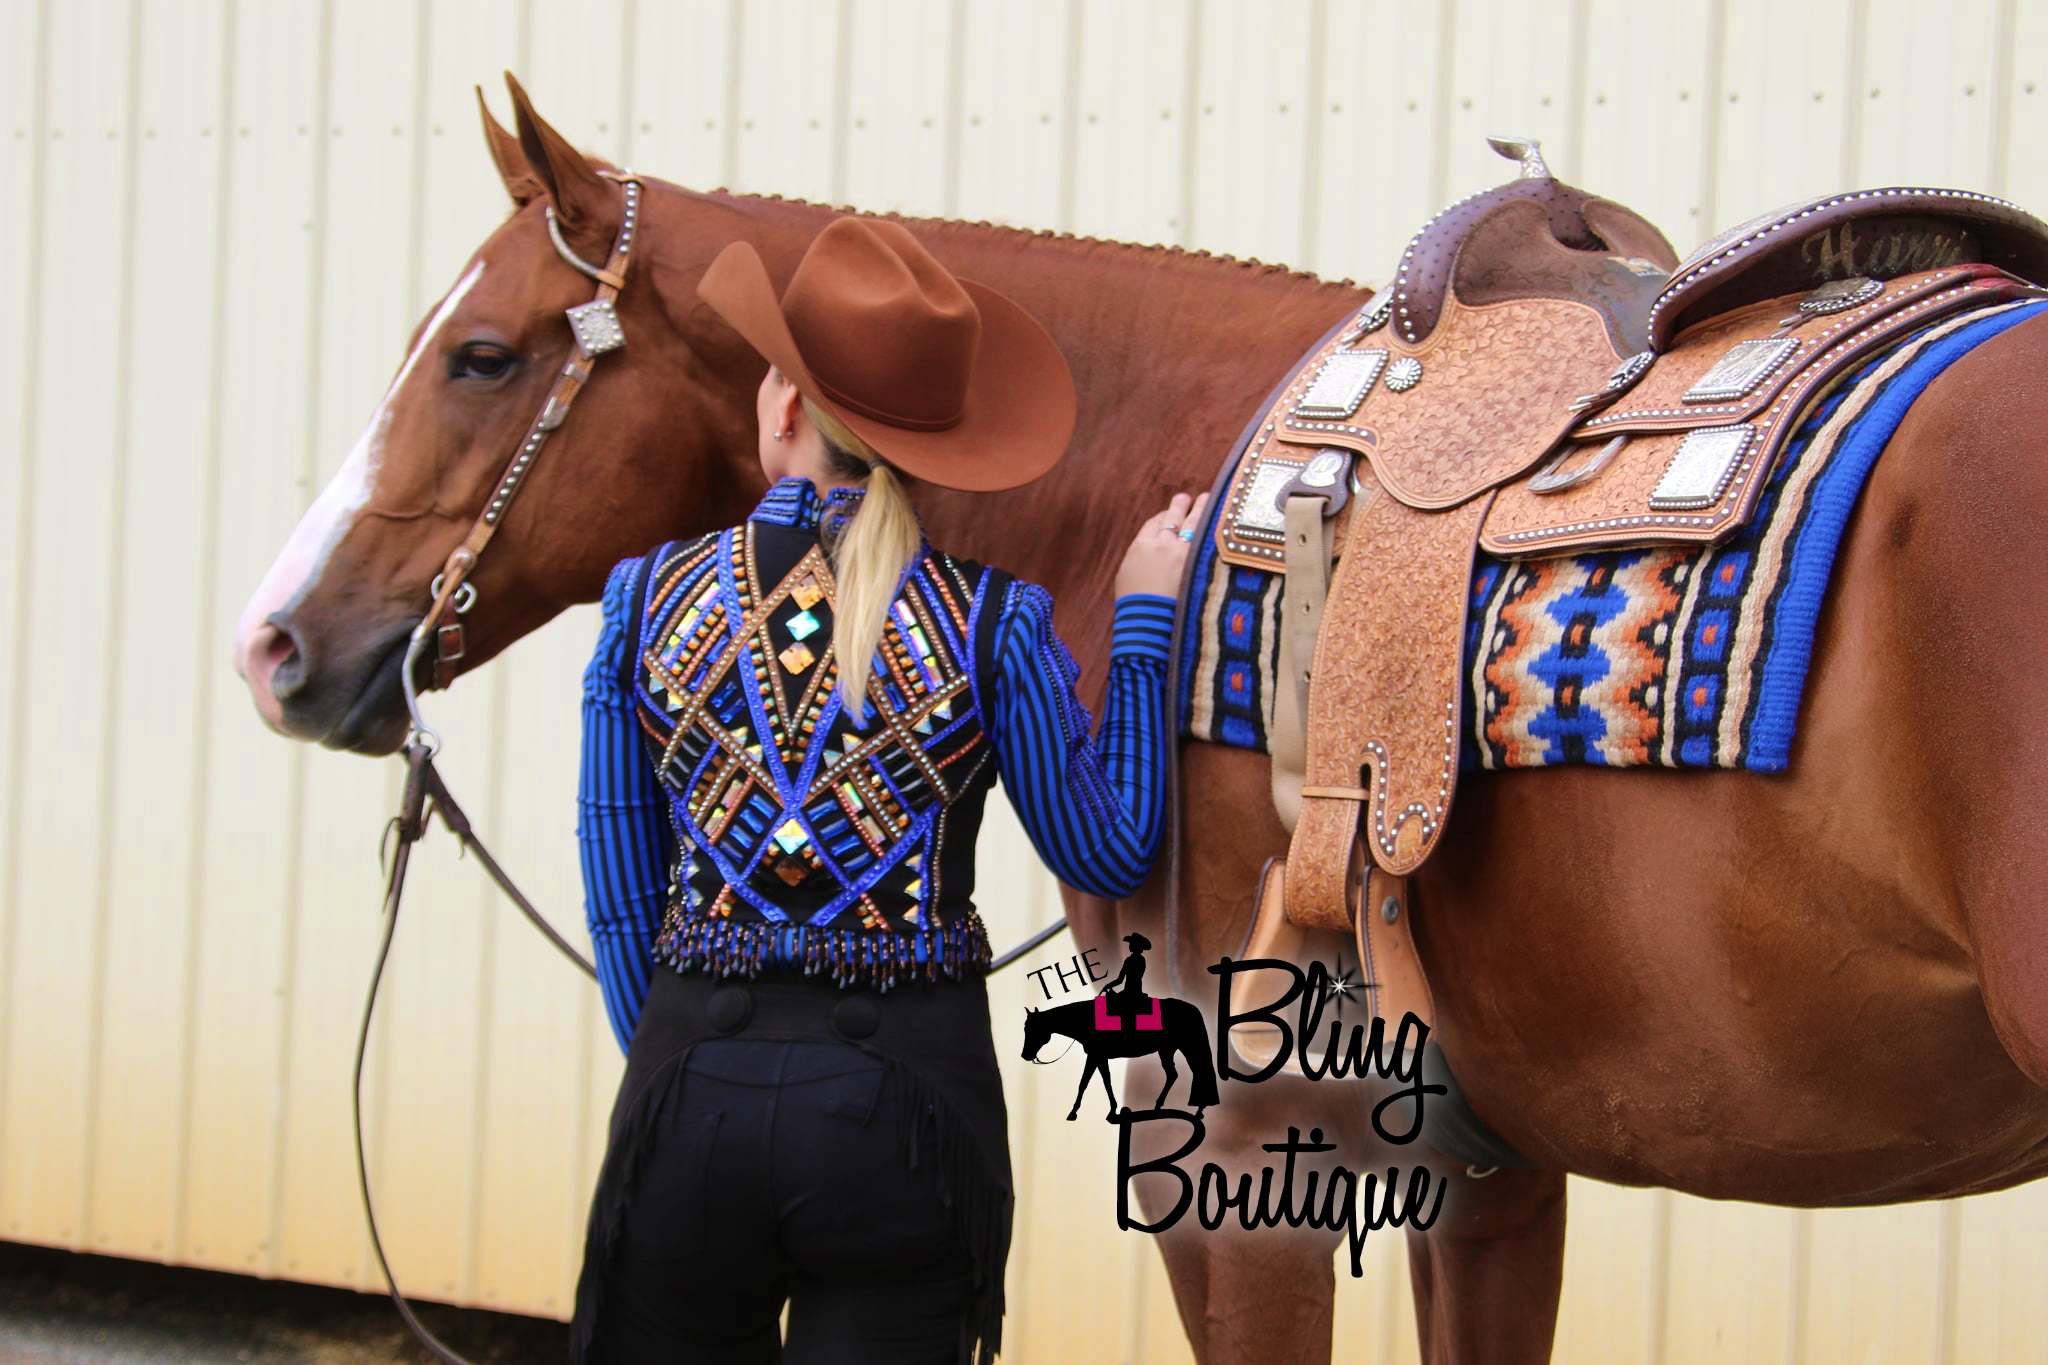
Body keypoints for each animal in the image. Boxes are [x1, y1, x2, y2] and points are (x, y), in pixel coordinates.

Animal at [1023, 997, 1221, 1121]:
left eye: (1031, 1029)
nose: (1025, 1055)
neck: (1087, 1019)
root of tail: (1192, 1009)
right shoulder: (1100, 1057)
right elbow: (1107, 1081)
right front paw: (1112, 1110)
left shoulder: (1094, 1056)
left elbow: (1084, 1083)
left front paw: (1073, 1112)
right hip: (1167, 1050)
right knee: (1173, 1074)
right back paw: (1161, 1107)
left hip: (1188, 1047)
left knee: (1198, 1070)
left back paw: (1198, 1108)